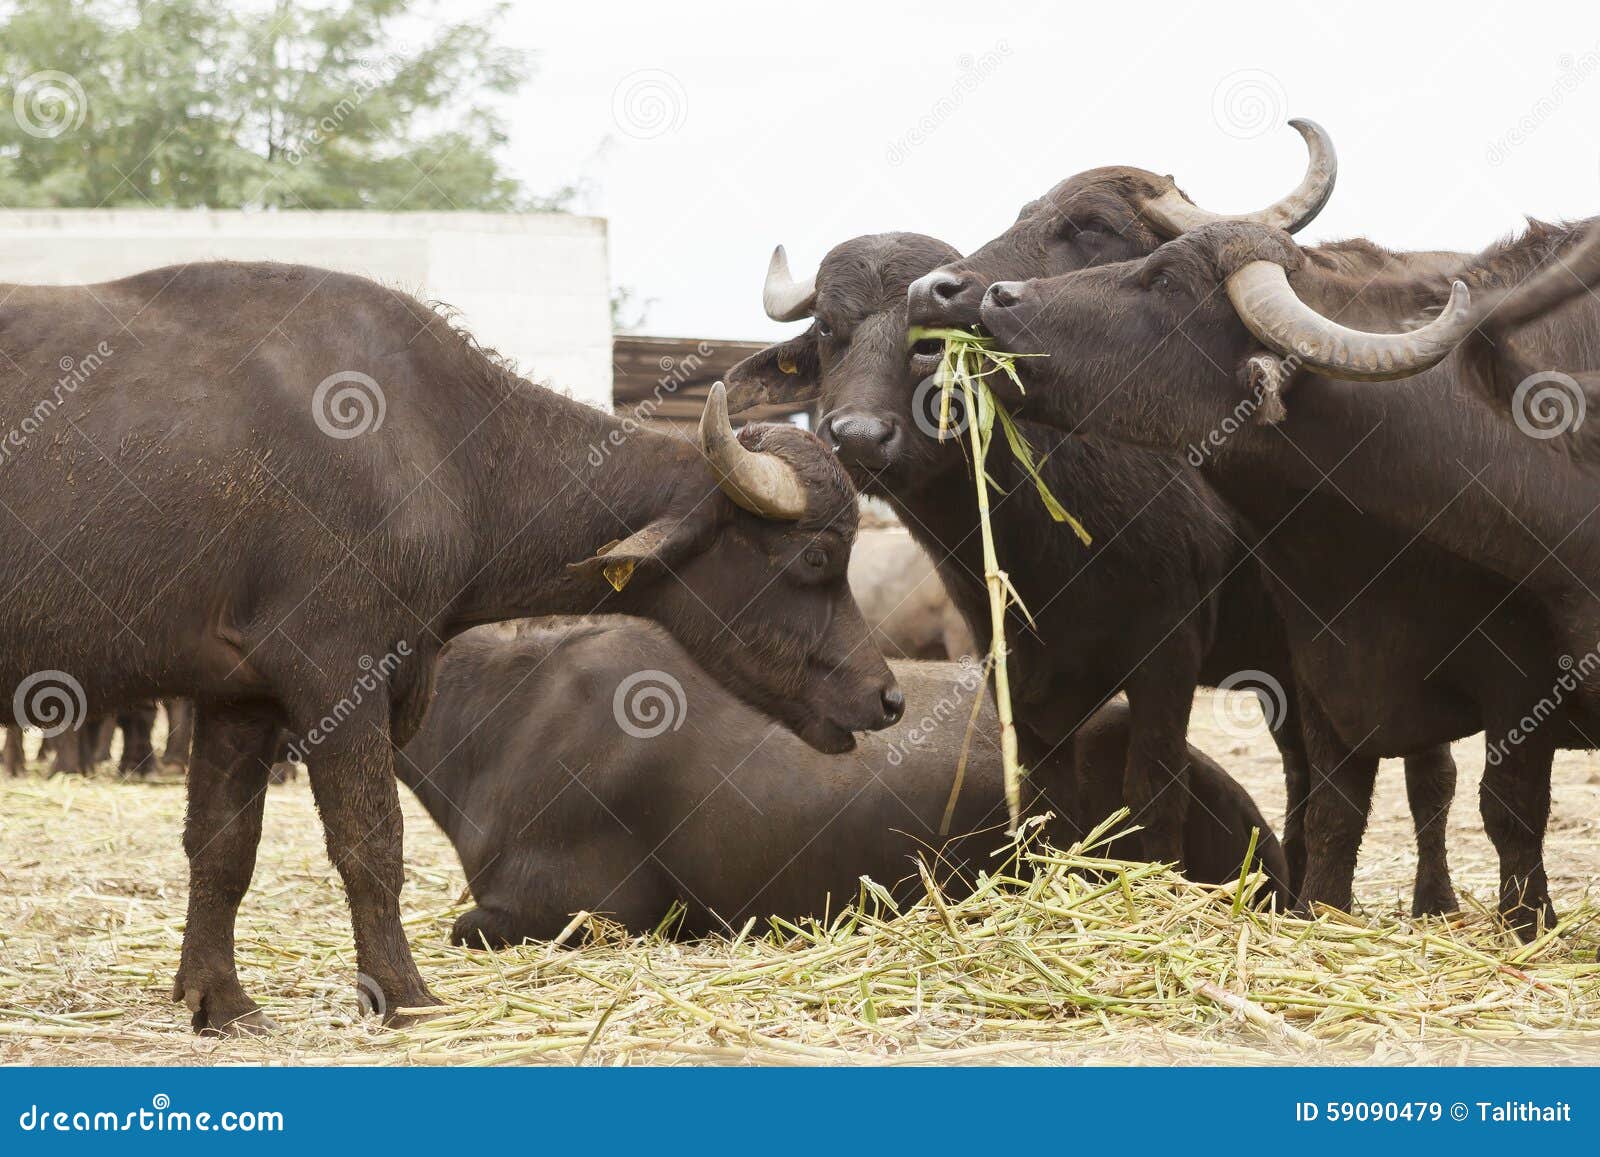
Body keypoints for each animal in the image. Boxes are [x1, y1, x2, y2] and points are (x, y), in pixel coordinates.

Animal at [0, 260, 900, 1031]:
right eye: (815, 557)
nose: (888, 694)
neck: (443, 445)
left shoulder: (240, 693)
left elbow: (222, 848)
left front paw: (217, 998)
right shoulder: (337, 670)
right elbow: (372, 842)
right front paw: (403, 992)